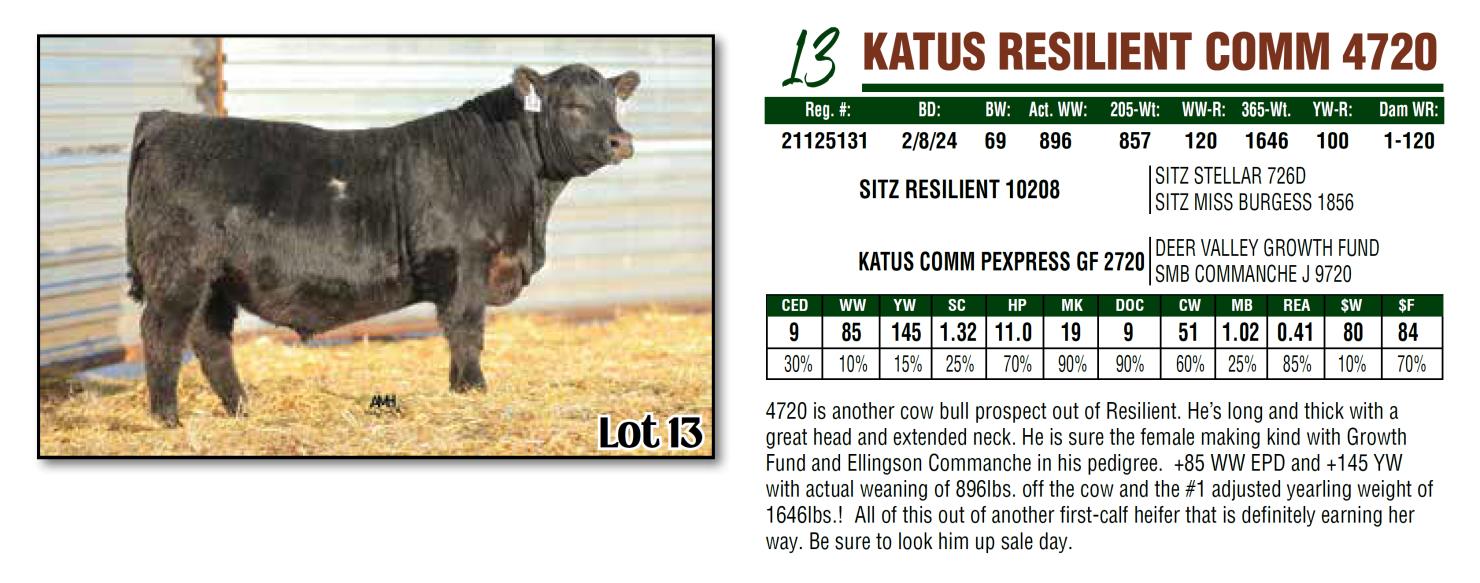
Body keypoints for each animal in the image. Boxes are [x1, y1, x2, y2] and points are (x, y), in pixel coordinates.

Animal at [124, 64, 640, 426]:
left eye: (614, 103)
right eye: (573, 105)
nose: (620, 141)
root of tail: (166, 120)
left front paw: (459, 389)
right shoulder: (465, 262)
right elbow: (466, 329)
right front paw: (473, 390)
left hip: (214, 280)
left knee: (210, 340)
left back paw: (240, 409)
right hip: (179, 268)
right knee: (161, 333)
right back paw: (167, 419)